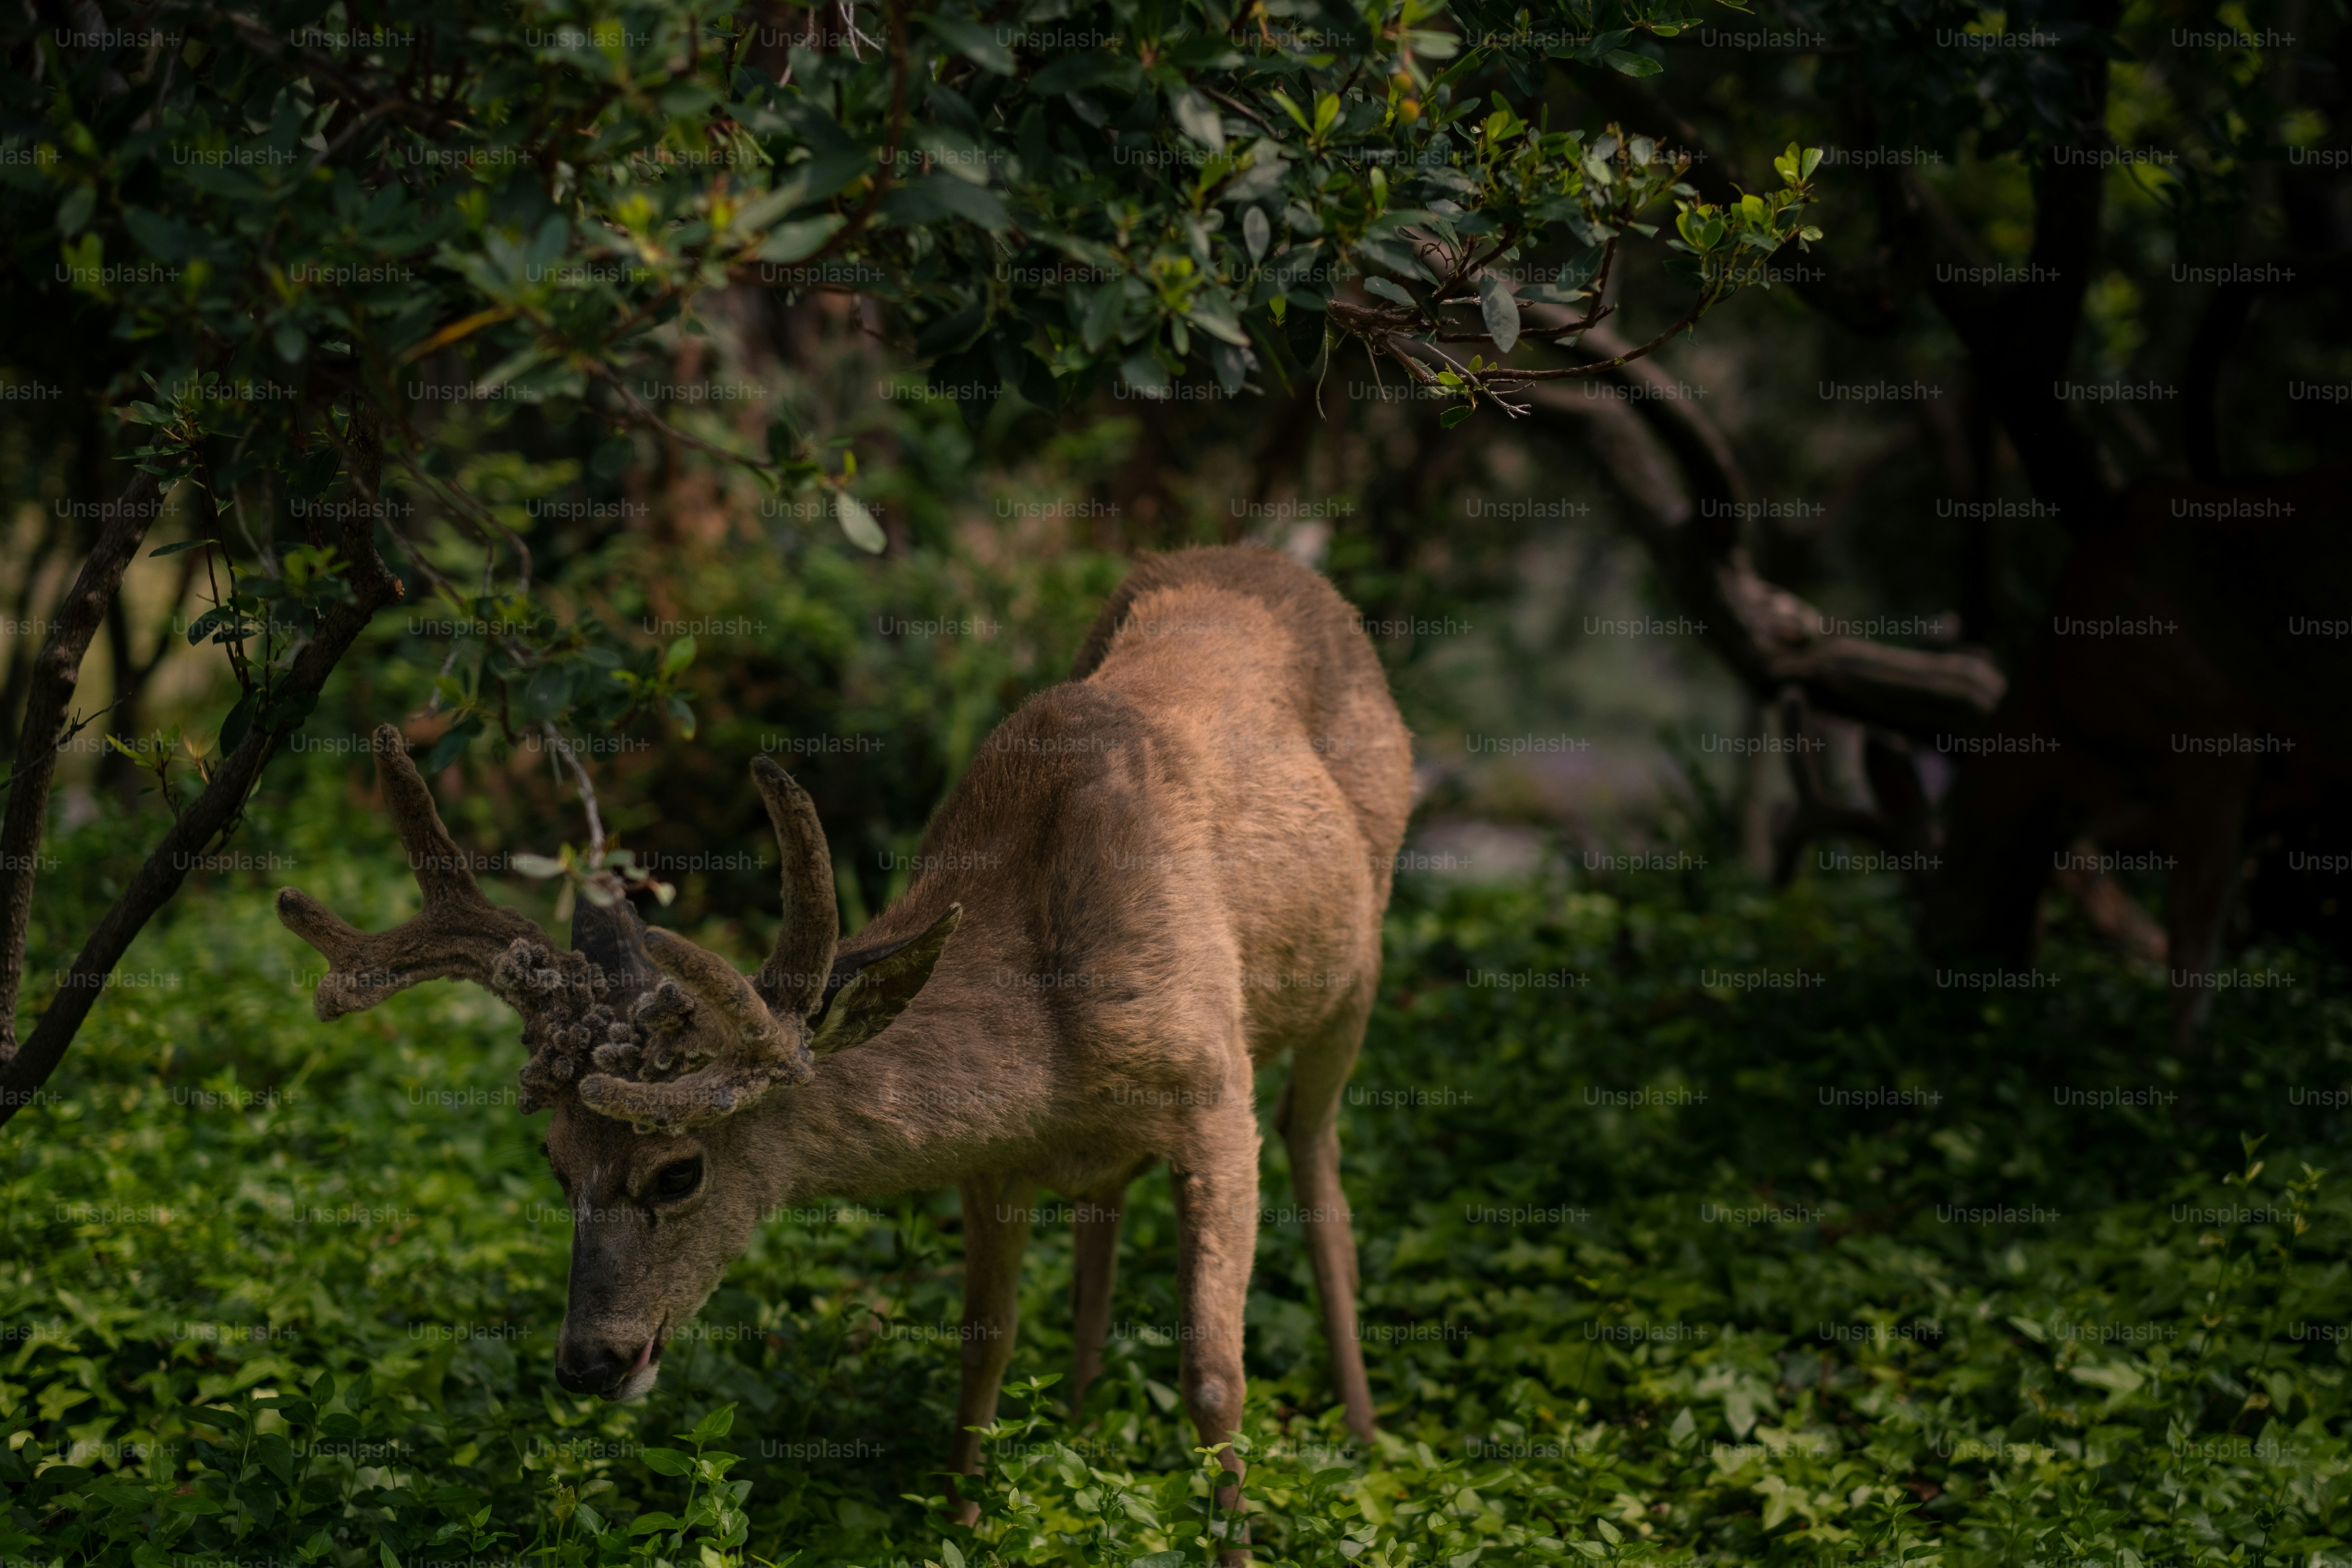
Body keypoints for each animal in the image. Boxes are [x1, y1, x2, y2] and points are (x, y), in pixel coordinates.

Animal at [275, 545, 1412, 1526]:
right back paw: (1083, 1414)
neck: (1052, 1027)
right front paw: (962, 1516)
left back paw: (1363, 1437)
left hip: (1356, 970)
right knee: (1107, 1207)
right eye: (556, 1164)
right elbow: (983, 1346)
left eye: (678, 1169)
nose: (588, 1361)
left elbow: (1214, 1374)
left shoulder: (1213, 1093)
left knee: (1318, 1159)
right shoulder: (997, 1156)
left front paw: (1235, 1532)